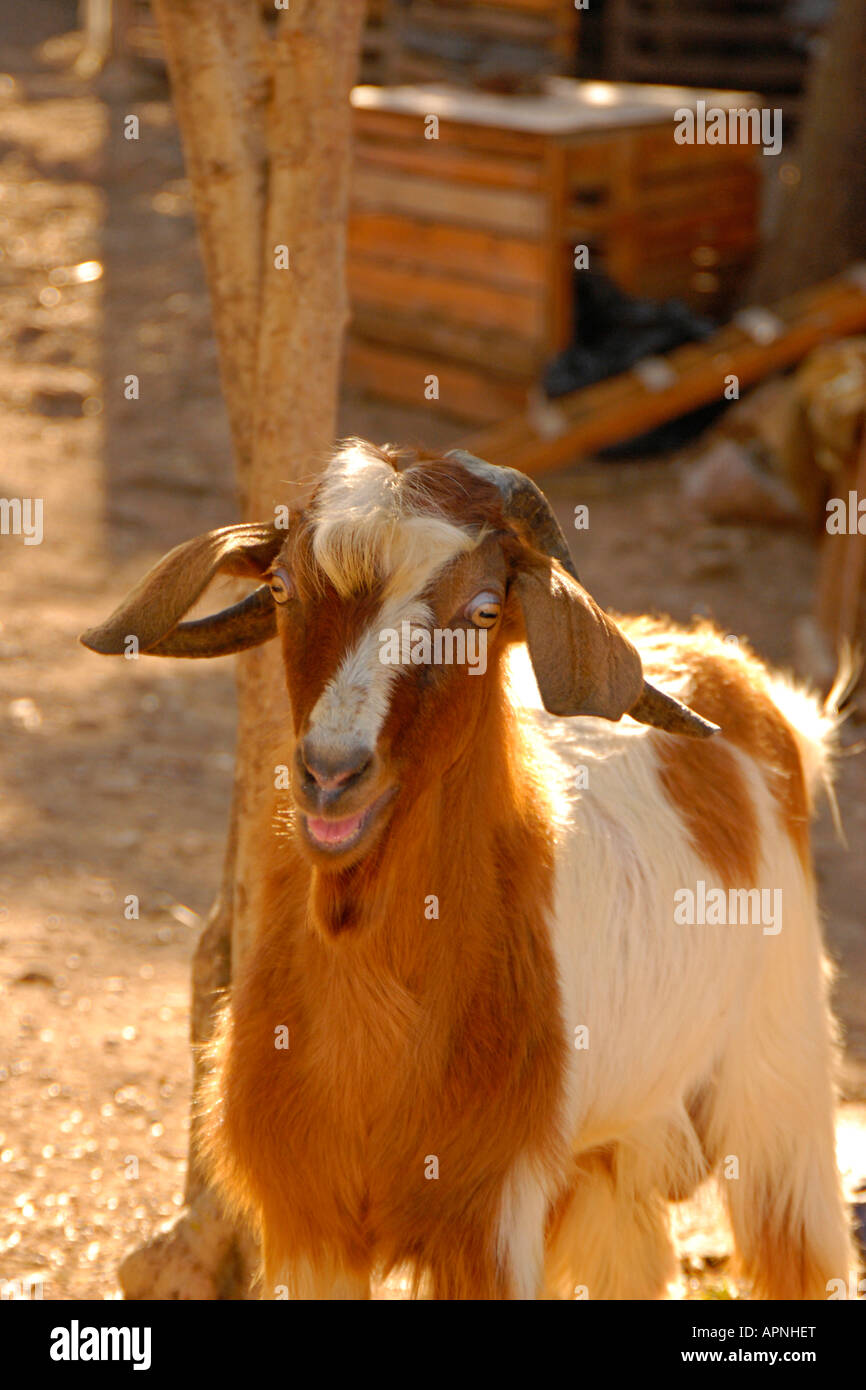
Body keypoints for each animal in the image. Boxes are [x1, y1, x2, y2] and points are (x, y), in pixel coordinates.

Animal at [82, 439, 853, 1300]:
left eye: (484, 611)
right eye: (281, 587)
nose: (332, 772)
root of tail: (745, 680)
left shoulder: (492, 1219)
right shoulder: (307, 1224)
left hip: (780, 1077)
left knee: (801, 1242)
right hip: (617, 1149)